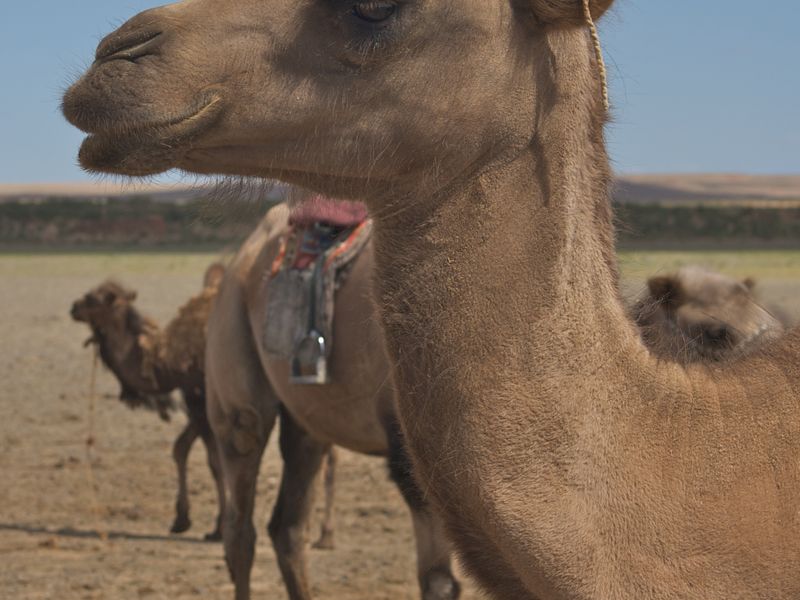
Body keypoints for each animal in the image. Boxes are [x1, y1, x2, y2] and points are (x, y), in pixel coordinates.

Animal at [63, 1, 800, 598]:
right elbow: (439, 579)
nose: (115, 54)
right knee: (244, 525)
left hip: (305, 418)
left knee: (282, 527)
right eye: (712, 331)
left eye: (374, 5)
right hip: (236, 384)